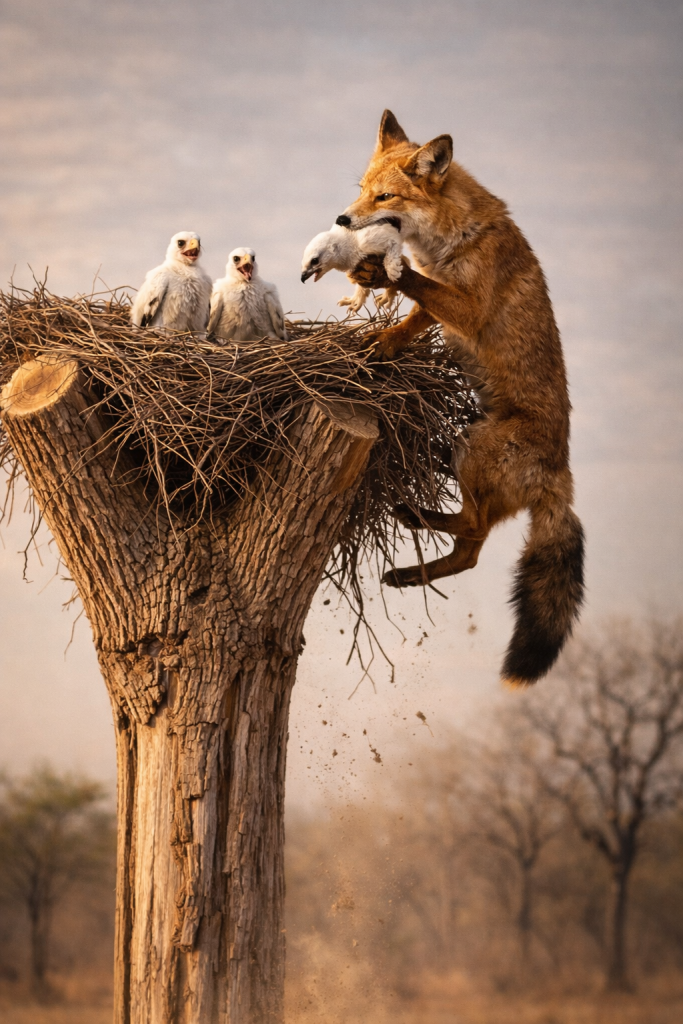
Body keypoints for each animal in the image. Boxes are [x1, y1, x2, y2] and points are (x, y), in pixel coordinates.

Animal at [336, 110, 585, 687]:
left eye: (384, 197)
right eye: (361, 190)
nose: (341, 218)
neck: (454, 239)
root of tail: (560, 477)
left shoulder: (468, 307)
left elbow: (421, 288)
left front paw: (382, 273)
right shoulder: (442, 306)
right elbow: (416, 315)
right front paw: (385, 342)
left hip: (475, 445)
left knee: (472, 534)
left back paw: (415, 519)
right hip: (468, 454)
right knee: (468, 550)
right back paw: (411, 567)